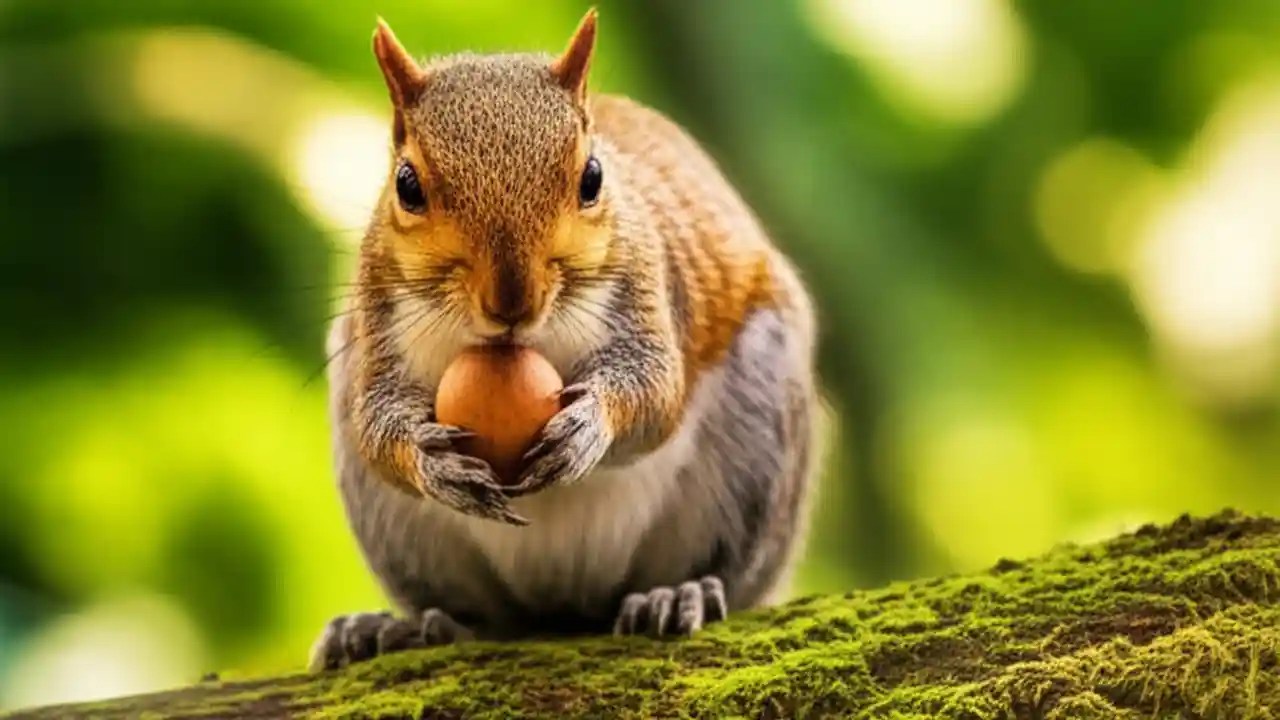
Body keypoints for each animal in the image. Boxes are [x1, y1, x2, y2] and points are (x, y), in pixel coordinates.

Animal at [310, 8, 819, 671]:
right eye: (407, 186)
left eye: (592, 178)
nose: (511, 304)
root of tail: (557, 607)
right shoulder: (376, 321)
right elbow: (376, 425)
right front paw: (428, 459)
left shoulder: (648, 290)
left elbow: (656, 394)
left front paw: (588, 427)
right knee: (476, 616)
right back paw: (401, 628)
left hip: (754, 445)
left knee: (725, 572)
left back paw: (679, 593)